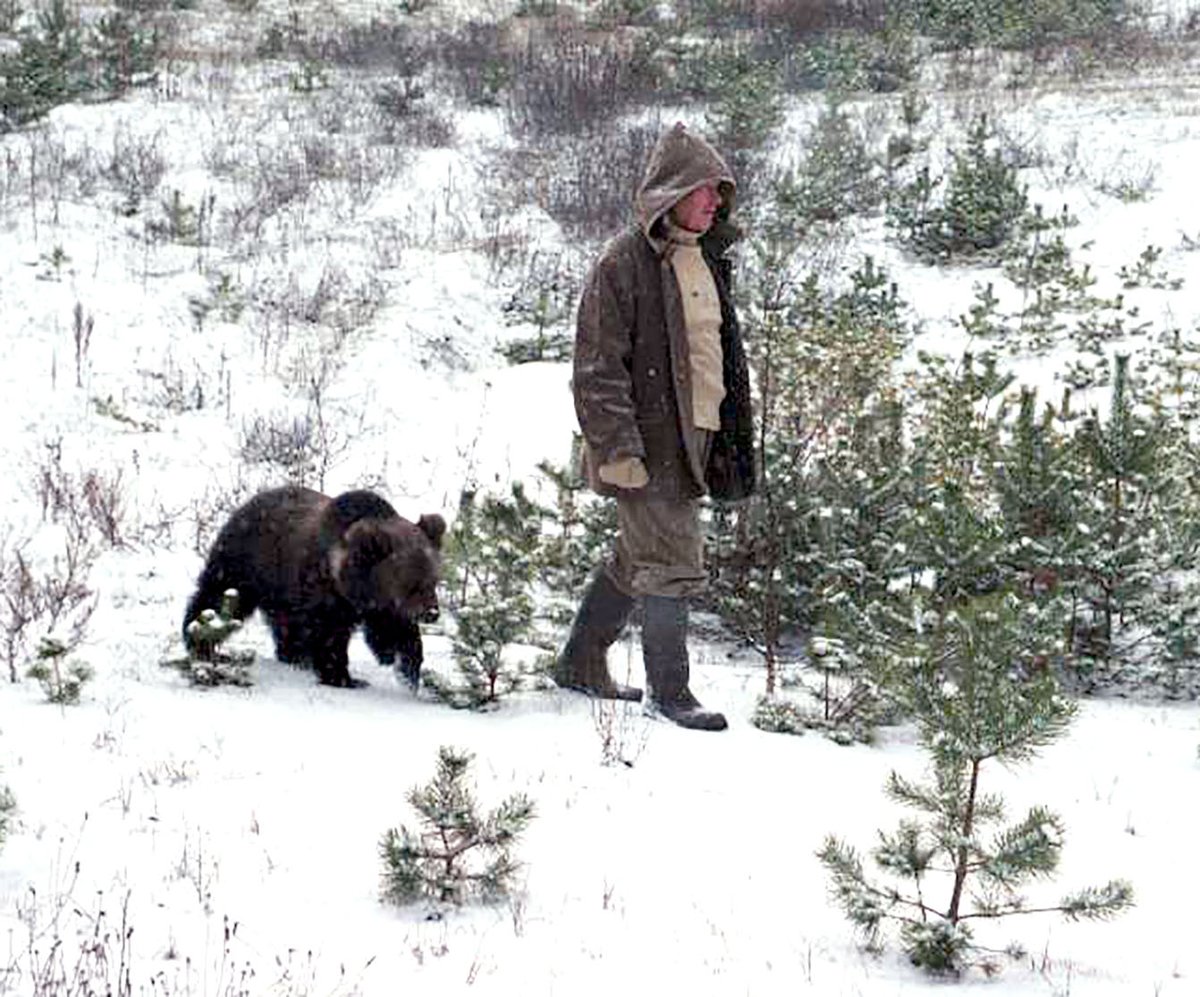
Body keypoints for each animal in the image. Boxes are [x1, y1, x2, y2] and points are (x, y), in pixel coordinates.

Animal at [182, 486, 446, 689]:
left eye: (434, 579)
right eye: (412, 583)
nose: (432, 613)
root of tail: (249, 502)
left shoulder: (379, 605)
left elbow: (398, 632)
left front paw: (406, 669)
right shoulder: (326, 596)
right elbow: (328, 637)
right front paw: (343, 678)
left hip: (282, 593)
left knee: (285, 625)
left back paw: (293, 656)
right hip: (246, 566)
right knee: (215, 596)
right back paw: (199, 641)